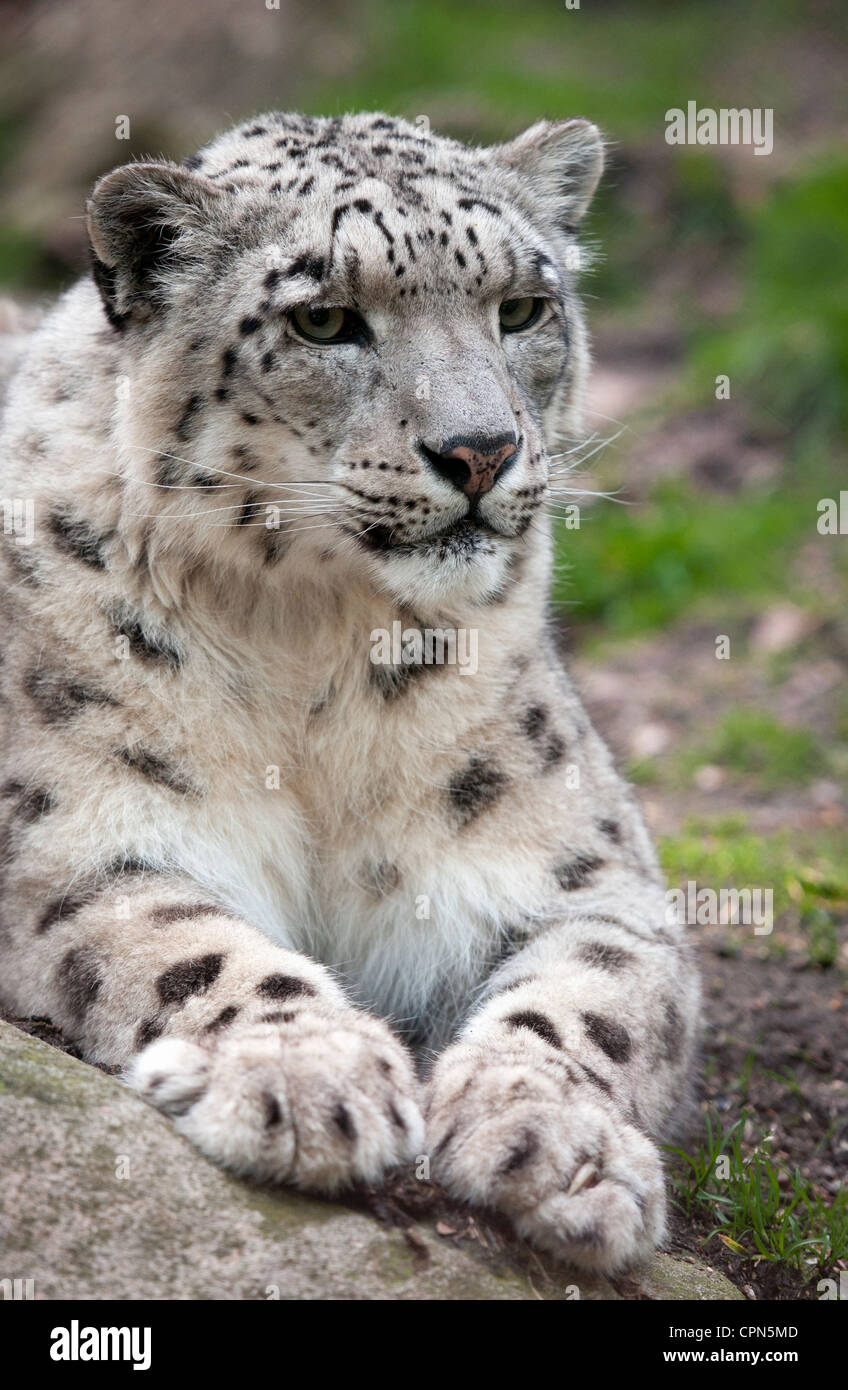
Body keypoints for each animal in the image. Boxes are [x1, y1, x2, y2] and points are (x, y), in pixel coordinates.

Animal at [0, 111, 699, 1275]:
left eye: (522, 307)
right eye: (324, 319)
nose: (480, 450)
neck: (313, 645)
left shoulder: (583, 865)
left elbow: (595, 992)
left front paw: (561, 1147)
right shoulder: (74, 836)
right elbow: (184, 946)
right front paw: (309, 1078)